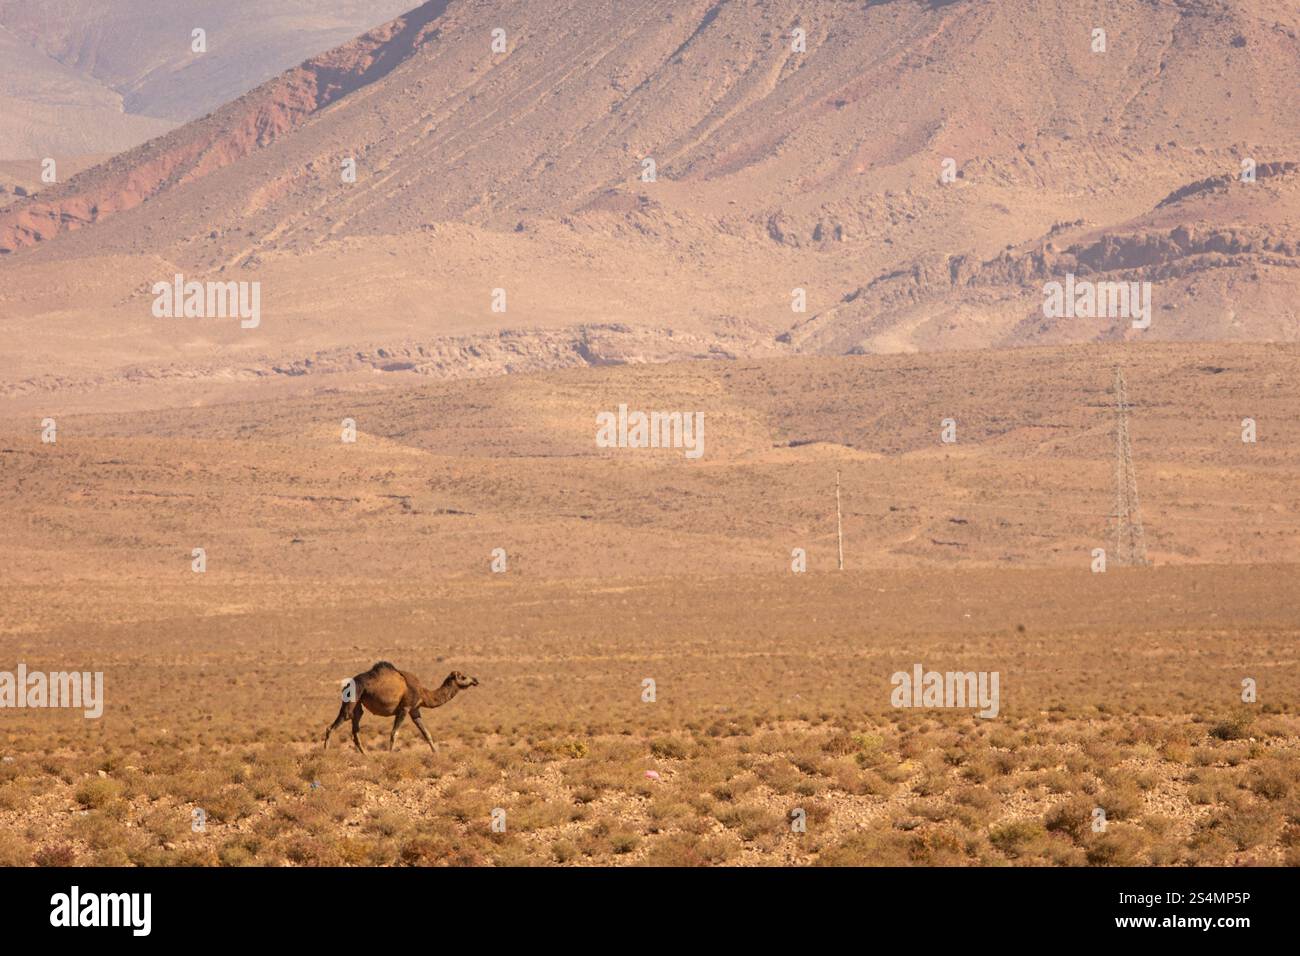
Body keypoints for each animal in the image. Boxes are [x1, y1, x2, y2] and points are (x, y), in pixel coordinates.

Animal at [323, 661, 478, 754]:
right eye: (463, 677)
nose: (475, 680)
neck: (424, 693)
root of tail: (348, 684)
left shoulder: (415, 710)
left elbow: (426, 733)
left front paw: (436, 753)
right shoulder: (405, 708)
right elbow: (394, 733)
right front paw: (390, 754)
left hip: (358, 704)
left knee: (355, 727)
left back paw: (365, 755)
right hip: (352, 699)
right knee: (334, 725)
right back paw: (325, 752)